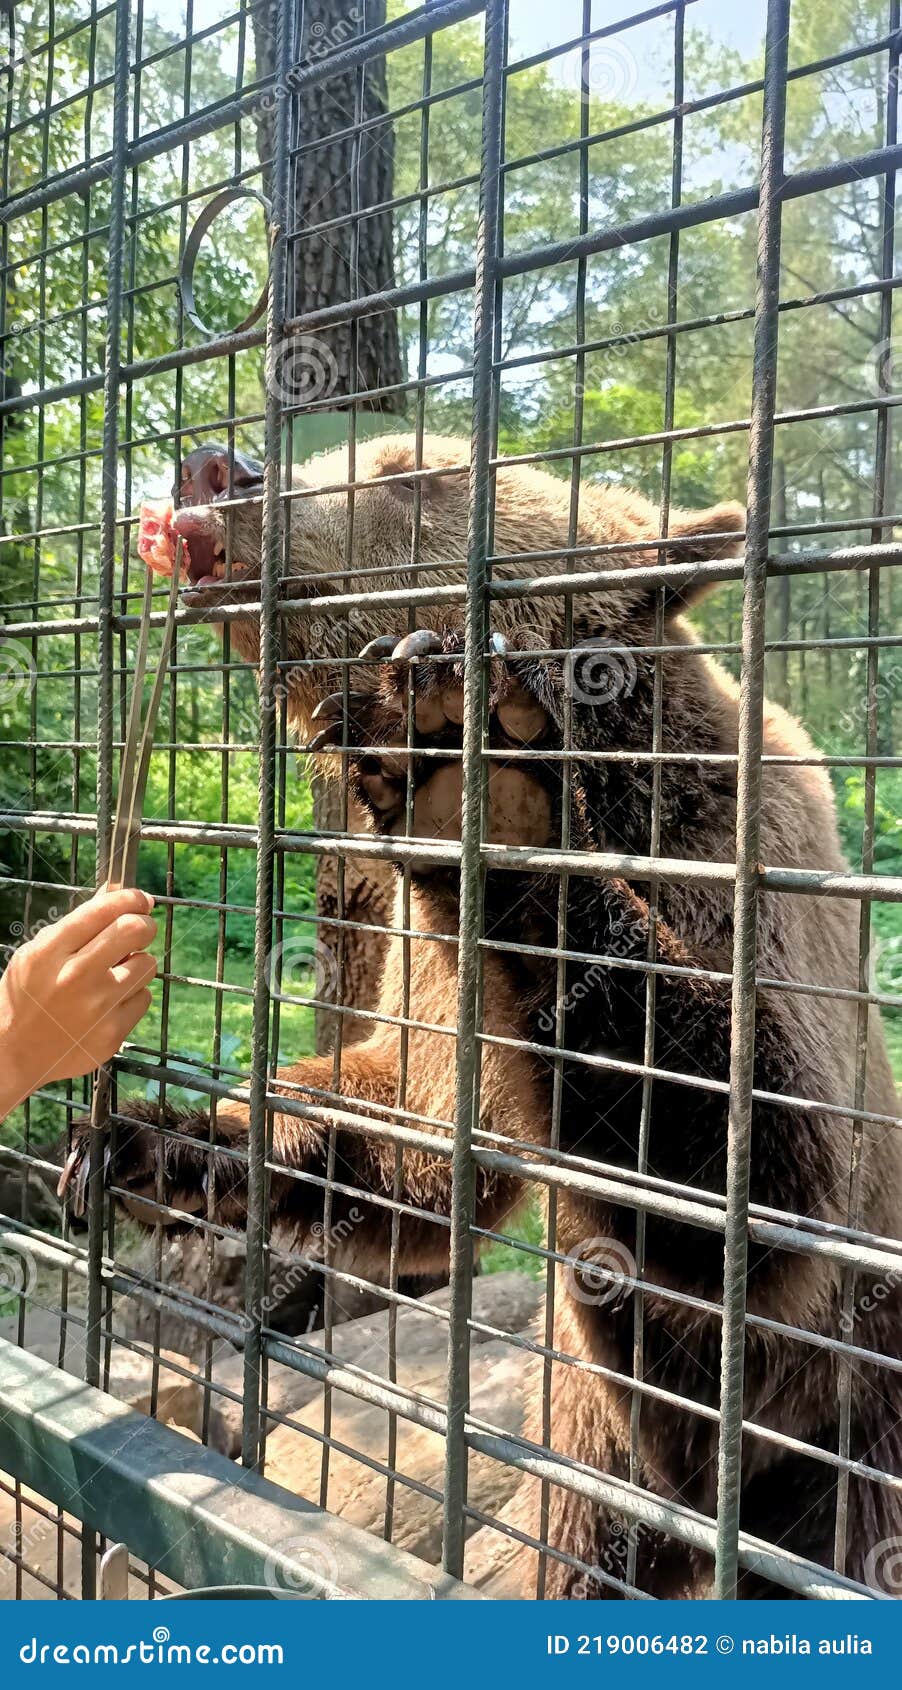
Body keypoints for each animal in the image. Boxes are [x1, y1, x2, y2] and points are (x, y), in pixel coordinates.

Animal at [61, 433, 902, 1598]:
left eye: (411, 469)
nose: (216, 469)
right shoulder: (433, 949)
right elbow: (420, 1127)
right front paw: (162, 1140)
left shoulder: (748, 855)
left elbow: (774, 1173)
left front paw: (473, 768)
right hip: (593, 1462)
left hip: (857, 1438)